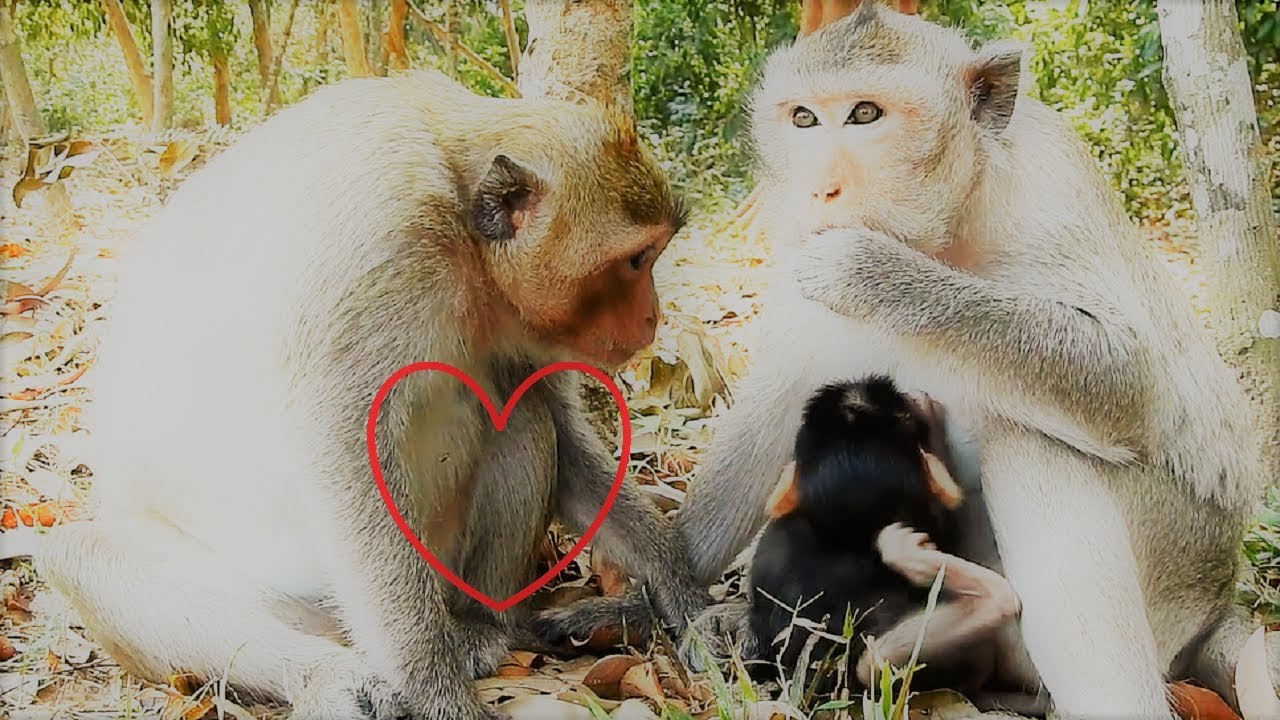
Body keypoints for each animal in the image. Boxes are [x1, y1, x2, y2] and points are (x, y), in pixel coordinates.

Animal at [32, 70, 708, 720]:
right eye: (635, 260)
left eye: (654, 254)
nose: (652, 316)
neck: (462, 230)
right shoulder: (385, 246)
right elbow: (340, 443)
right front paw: (432, 690)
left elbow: (558, 431)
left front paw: (677, 585)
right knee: (80, 556)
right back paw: (325, 676)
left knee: (522, 420)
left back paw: (480, 627)